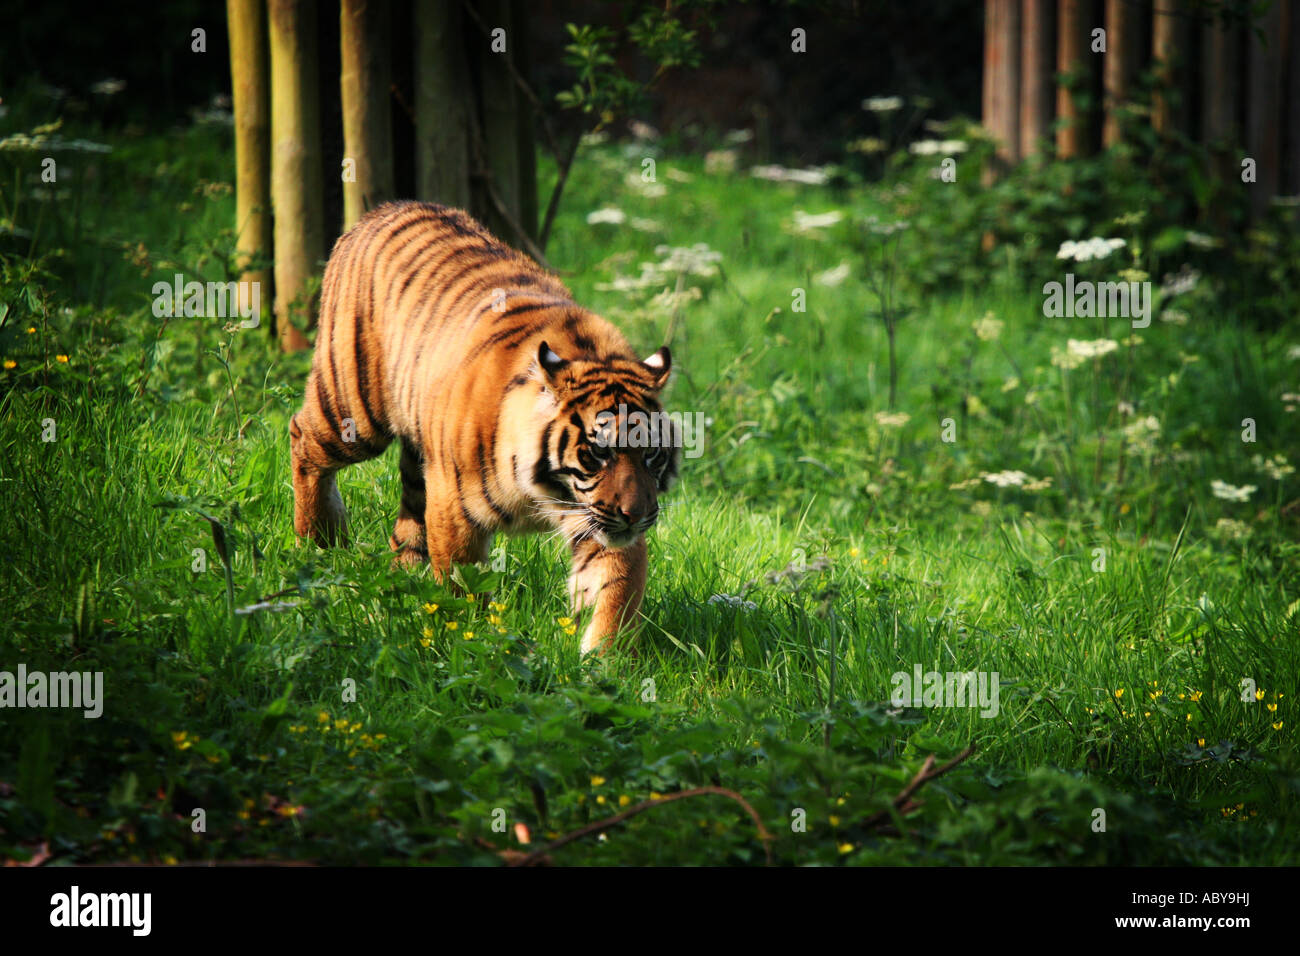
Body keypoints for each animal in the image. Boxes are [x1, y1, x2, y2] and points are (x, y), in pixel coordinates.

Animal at [290, 201, 678, 655]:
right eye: (599, 452)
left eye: (651, 455)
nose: (638, 516)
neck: (544, 490)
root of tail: (383, 209)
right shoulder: (454, 508)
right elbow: (460, 588)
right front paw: (468, 642)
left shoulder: (597, 520)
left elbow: (616, 589)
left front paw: (603, 660)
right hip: (354, 410)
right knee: (303, 440)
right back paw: (319, 542)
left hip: (417, 460)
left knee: (406, 527)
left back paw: (395, 576)